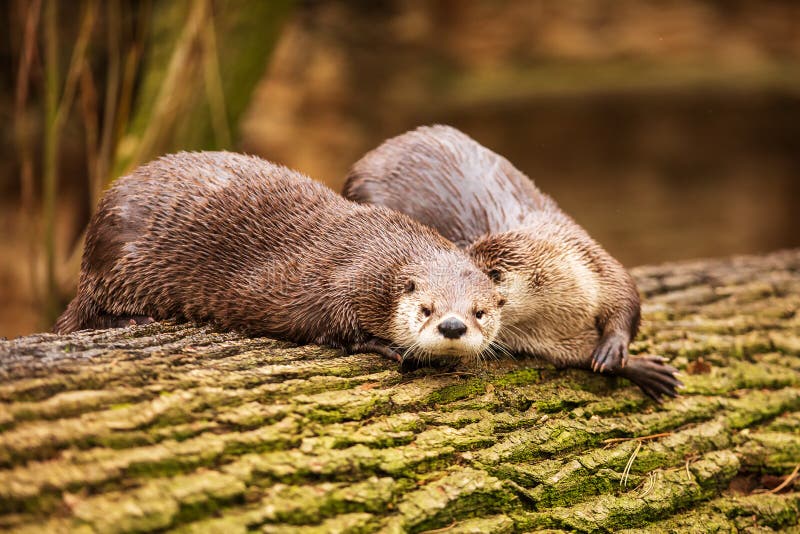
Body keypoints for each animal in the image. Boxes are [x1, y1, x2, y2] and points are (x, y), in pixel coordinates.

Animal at [54, 151, 504, 365]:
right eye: (426, 308)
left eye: (479, 312)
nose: (452, 326)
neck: (382, 249)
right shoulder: (339, 281)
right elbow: (331, 323)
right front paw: (381, 343)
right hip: (119, 261)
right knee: (85, 313)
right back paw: (133, 319)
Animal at [344, 125, 680, 400]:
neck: (566, 305)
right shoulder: (546, 342)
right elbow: (580, 356)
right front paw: (640, 368)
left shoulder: (590, 258)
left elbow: (626, 296)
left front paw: (616, 349)